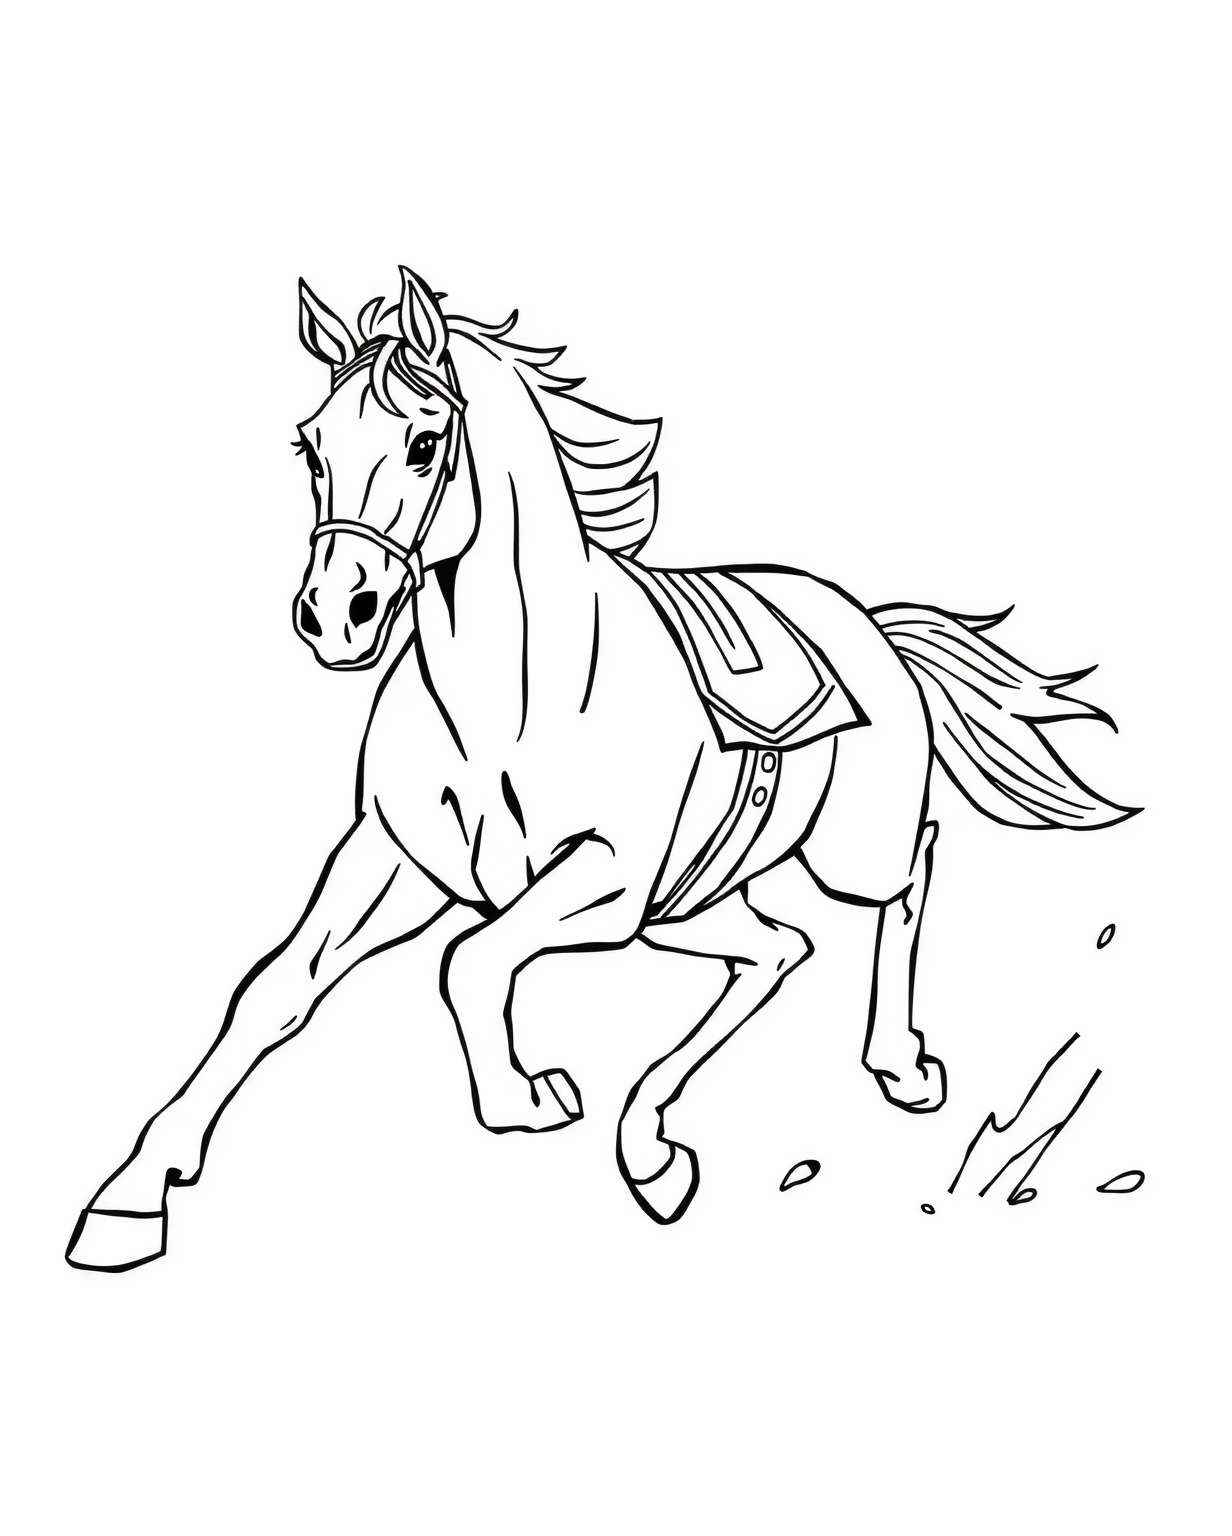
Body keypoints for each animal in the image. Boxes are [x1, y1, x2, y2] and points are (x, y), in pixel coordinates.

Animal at [66, 265, 1137, 1270]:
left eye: (424, 444)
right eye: (311, 446)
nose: (338, 616)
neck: (507, 700)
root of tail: (868, 620)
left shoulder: (603, 881)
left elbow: (470, 961)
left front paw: (521, 1098)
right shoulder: (396, 863)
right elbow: (273, 990)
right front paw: (128, 1200)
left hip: (837, 854)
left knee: (909, 875)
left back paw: (897, 1068)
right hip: (693, 904)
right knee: (777, 952)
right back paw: (654, 1152)